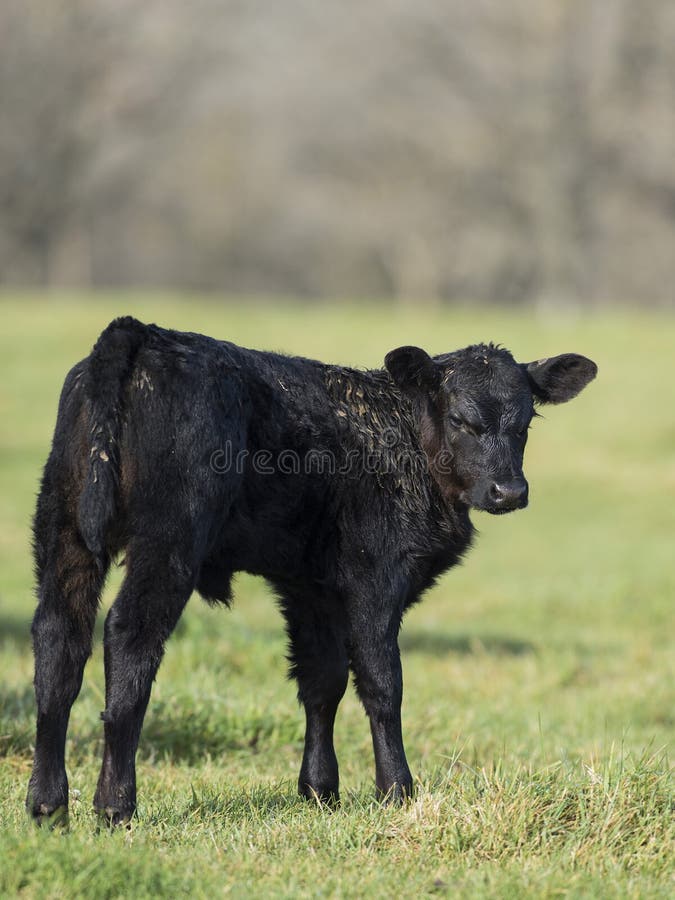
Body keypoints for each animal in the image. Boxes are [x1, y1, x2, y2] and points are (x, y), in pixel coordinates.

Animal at [26, 317, 597, 825]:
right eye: (461, 419)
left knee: (59, 644)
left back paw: (48, 806)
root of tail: (144, 333)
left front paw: (320, 791)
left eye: (526, 422)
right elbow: (382, 683)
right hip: (168, 541)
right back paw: (115, 805)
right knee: (128, 639)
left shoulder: (310, 587)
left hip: (64, 528)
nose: (509, 491)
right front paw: (397, 791)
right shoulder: (375, 578)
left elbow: (322, 683)